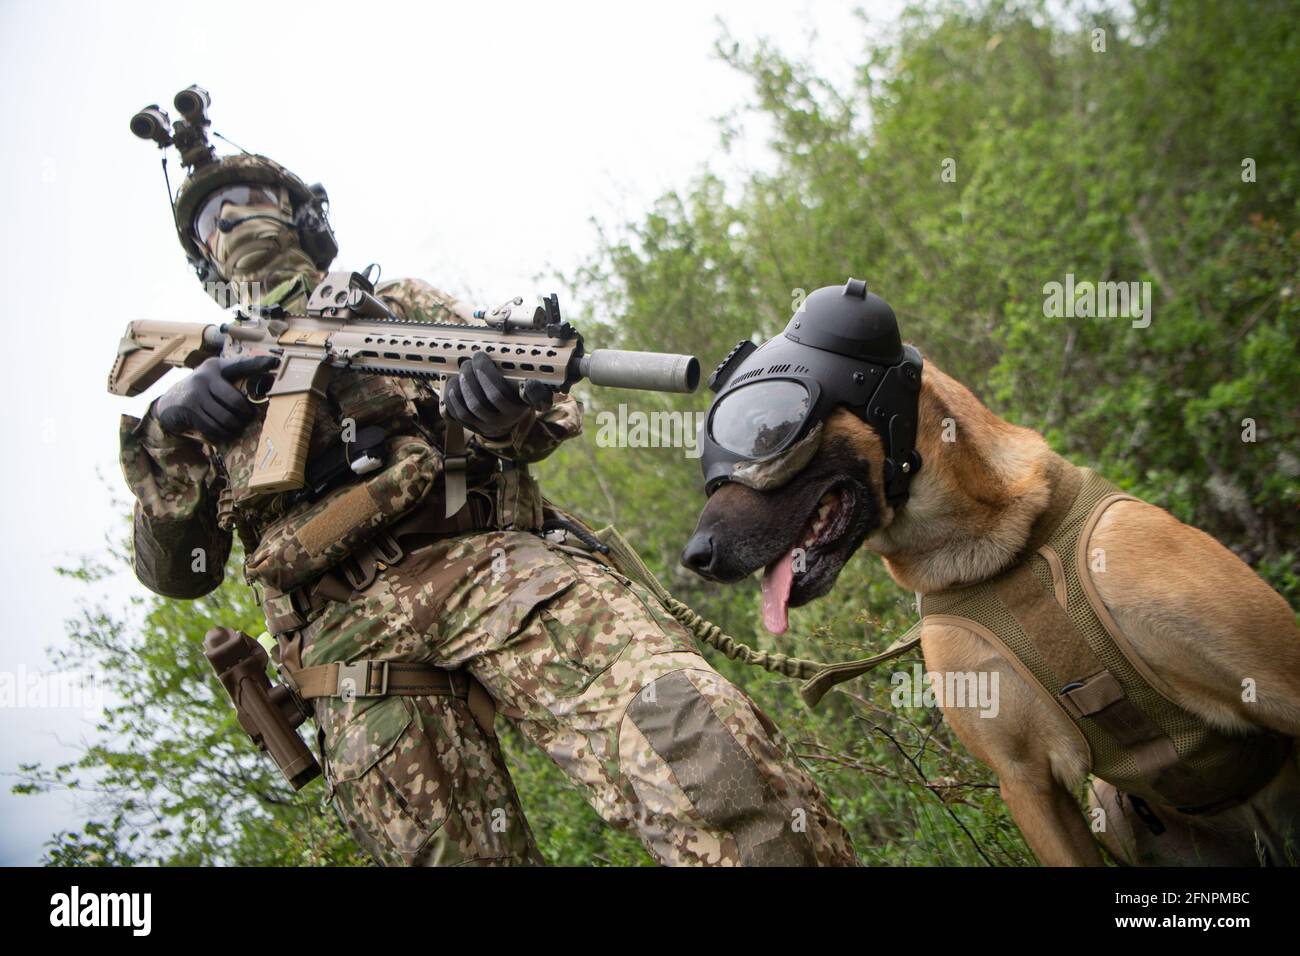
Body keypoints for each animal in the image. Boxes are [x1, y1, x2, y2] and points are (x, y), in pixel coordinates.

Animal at [681, 361, 1300, 868]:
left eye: (763, 429)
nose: (695, 556)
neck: (994, 556)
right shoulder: (1027, 783)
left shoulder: (1276, 680)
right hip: (1109, 806)